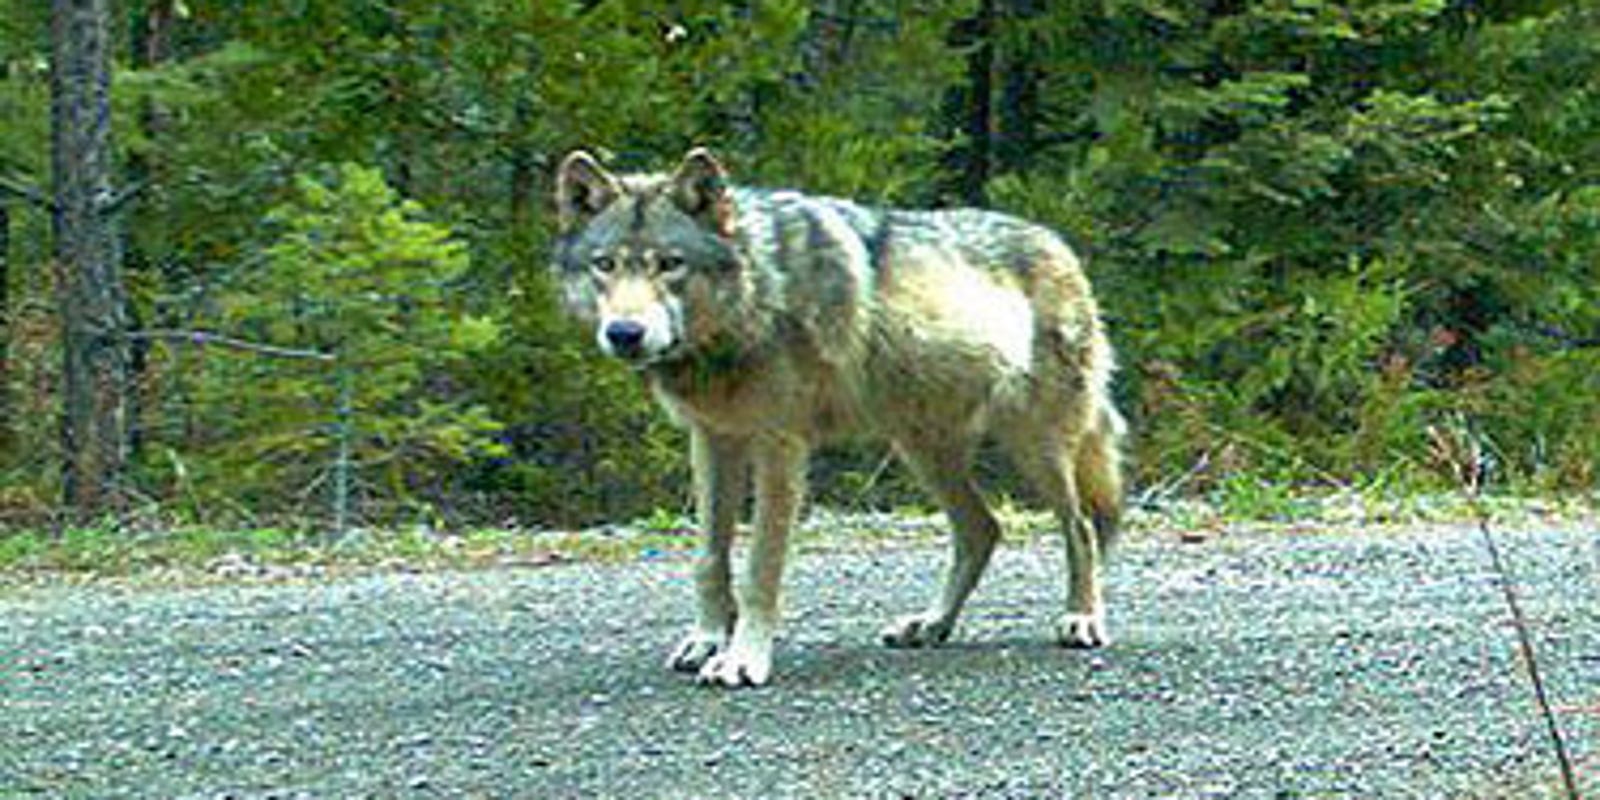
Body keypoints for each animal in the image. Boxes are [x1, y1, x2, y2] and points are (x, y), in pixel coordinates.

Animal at [550, 147, 1126, 688]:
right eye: (605, 264)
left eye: (670, 263)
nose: (625, 333)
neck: (758, 294)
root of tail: (1059, 243)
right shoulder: (713, 439)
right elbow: (709, 558)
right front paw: (708, 639)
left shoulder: (780, 445)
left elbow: (761, 567)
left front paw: (742, 660)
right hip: (922, 451)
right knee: (982, 530)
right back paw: (931, 625)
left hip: (1036, 446)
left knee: (1080, 527)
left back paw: (1081, 618)